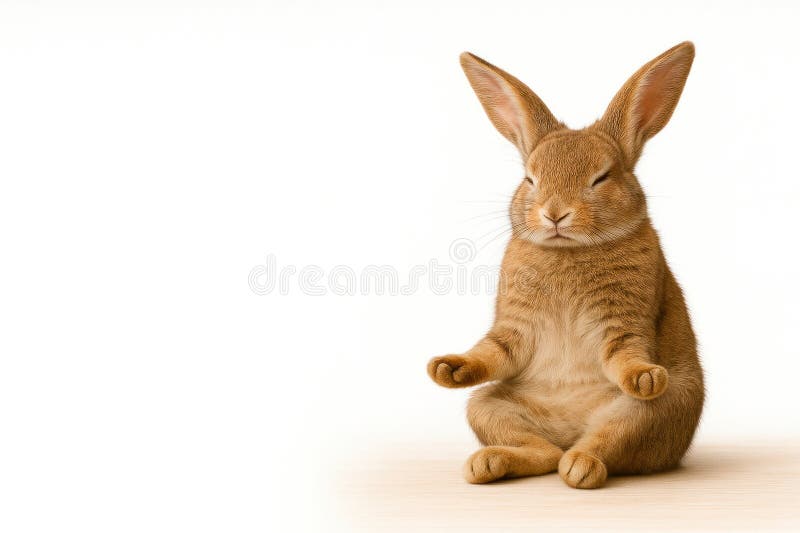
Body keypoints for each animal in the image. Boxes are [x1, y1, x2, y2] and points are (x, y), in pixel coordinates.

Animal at [427, 42, 704, 489]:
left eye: (602, 177)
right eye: (530, 179)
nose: (555, 214)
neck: (568, 251)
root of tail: (567, 430)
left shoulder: (624, 324)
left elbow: (626, 354)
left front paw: (644, 377)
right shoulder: (514, 329)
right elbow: (492, 352)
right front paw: (447, 368)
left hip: (655, 411)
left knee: (598, 444)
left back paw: (581, 466)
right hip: (488, 405)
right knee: (541, 453)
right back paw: (489, 463)